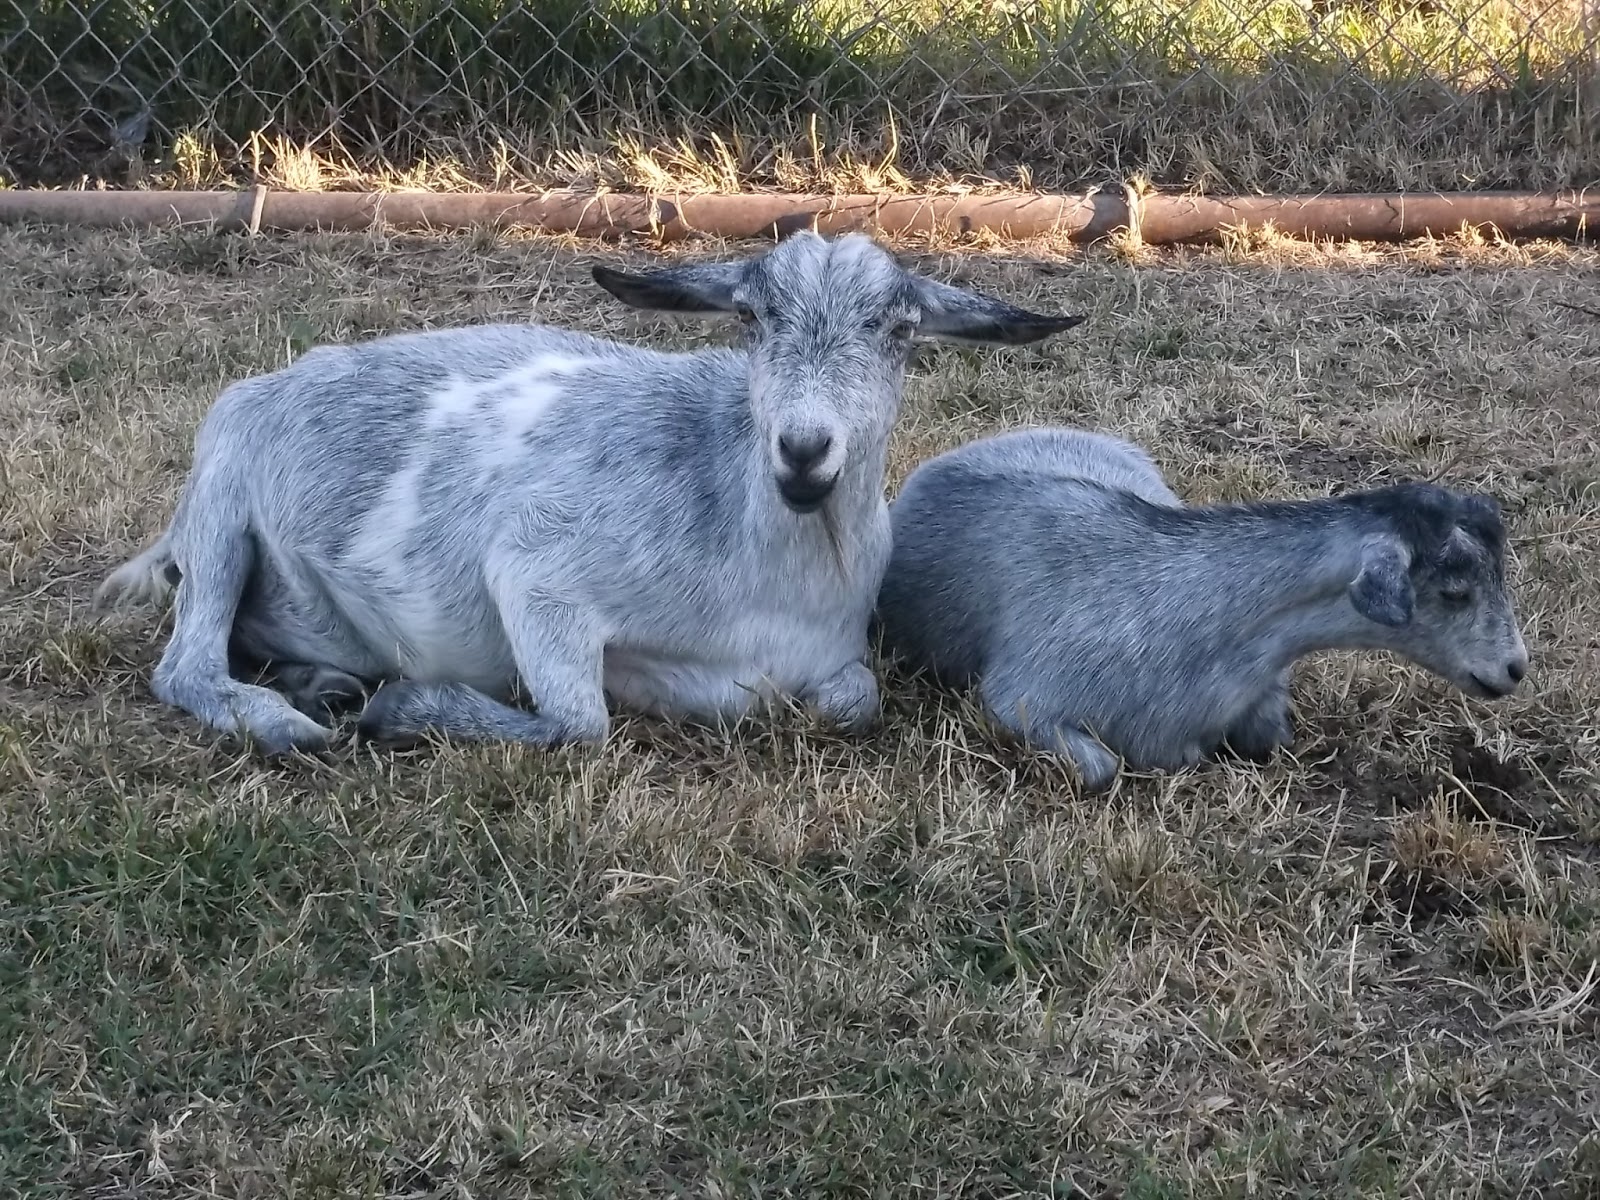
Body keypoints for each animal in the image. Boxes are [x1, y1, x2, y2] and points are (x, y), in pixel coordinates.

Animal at [95, 232, 1084, 753]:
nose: (804, 451)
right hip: (222, 498)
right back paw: (286, 717)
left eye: (899, 330)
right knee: (185, 662)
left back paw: (324, 680)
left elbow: (849, 699)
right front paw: (406, 707)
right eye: (750, 317)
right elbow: (580, 724)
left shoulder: (827, 662)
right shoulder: (536, 571)